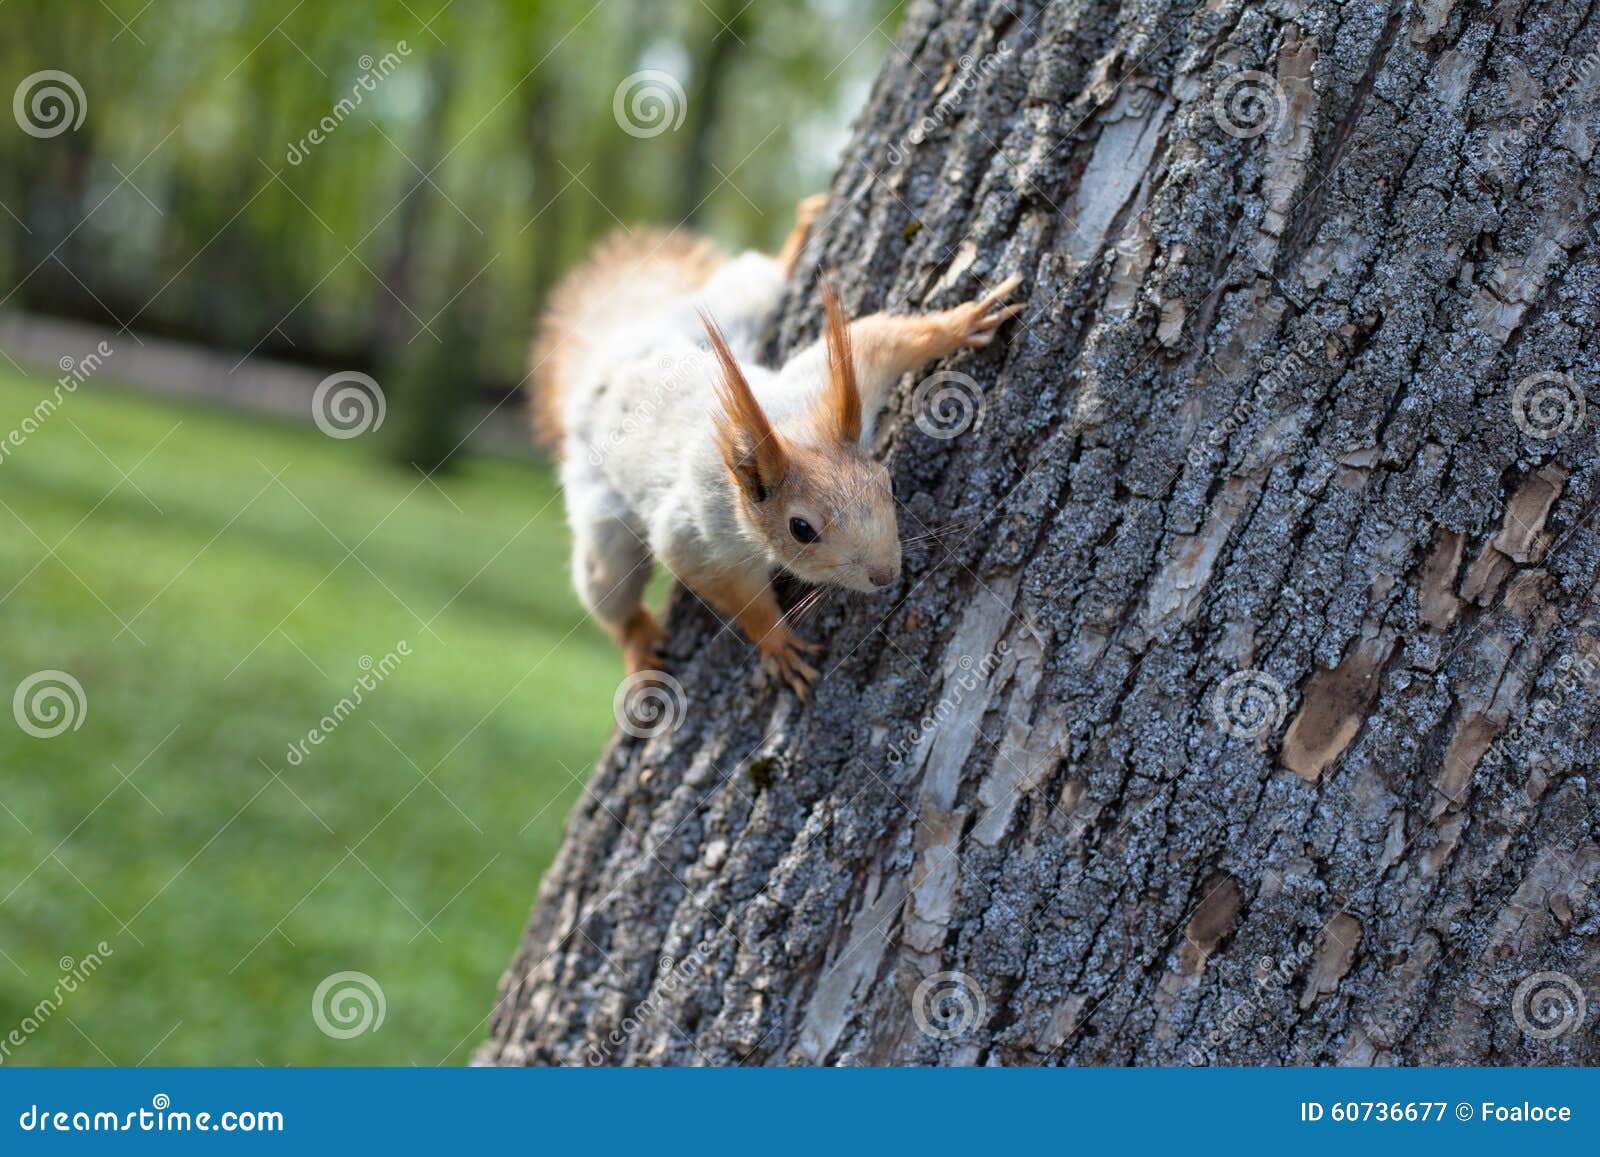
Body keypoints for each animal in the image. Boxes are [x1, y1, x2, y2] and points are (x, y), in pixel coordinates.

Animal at [530, 193, 1023, 697]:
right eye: (801, 529)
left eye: (888, 485)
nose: (884, 575)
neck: (784, 432)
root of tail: (608, 361)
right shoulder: (700, 533)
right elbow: (730, 590)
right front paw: (776, 641)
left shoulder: (822, 386)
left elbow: (879, 338)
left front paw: (960, 322)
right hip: (601, 517)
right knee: (608, 587)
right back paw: (637, 641)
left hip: (723, 309)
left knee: (754, 279)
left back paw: (797, 241)